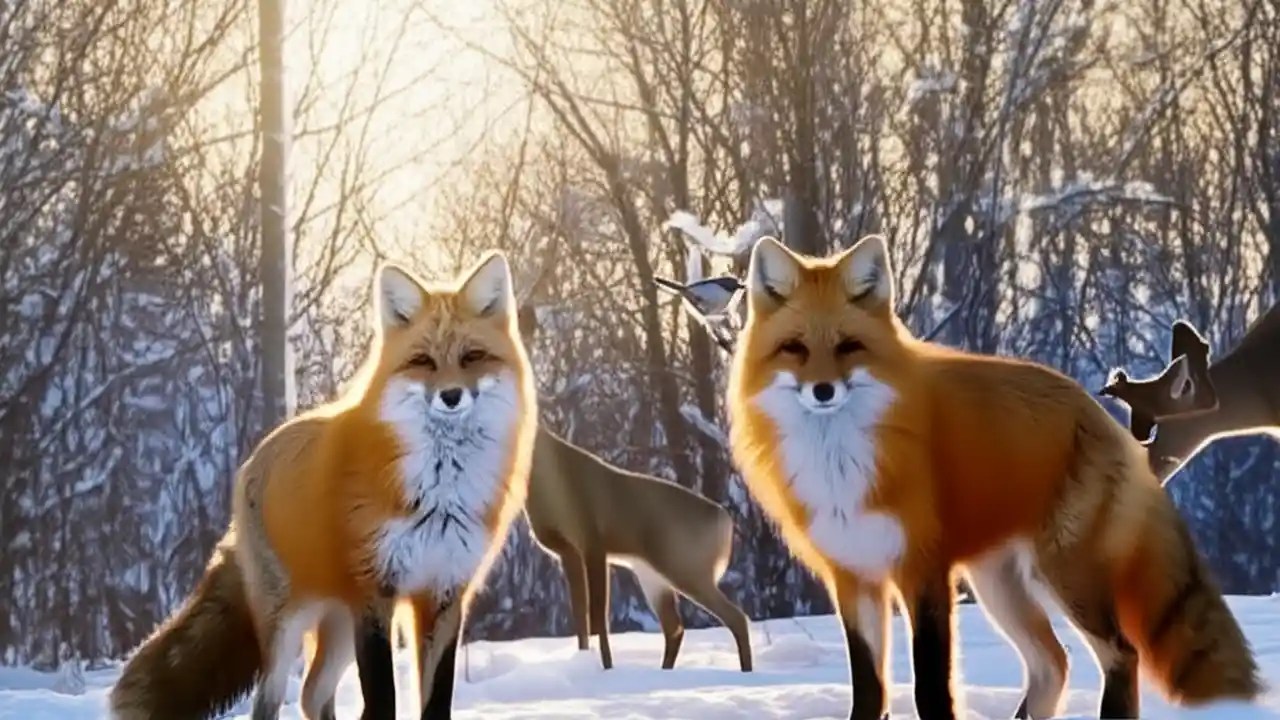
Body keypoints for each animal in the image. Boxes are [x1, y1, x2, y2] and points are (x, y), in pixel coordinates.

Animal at [108, 251, 538, 720]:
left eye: (473, 356)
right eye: (423, 361)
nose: (451, 396)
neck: (440, 490)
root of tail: (254, 457)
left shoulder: (444, 596)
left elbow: (434, 704)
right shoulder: (375, 593)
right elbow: (382, 701)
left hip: (338, 624)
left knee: (313, 694)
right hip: (289, 624)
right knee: (271, 700)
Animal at [725, 235, 1262, 720]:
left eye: (848, 347)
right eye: (794, 349)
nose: (823, 390)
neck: (840, 460)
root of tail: (1099, 413)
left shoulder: (923, 570)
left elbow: (931, 689)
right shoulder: (853, 577)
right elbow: (870, 692)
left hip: (1065, 577)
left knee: (1119, 653)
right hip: (1000, 587)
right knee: (1053, 664)